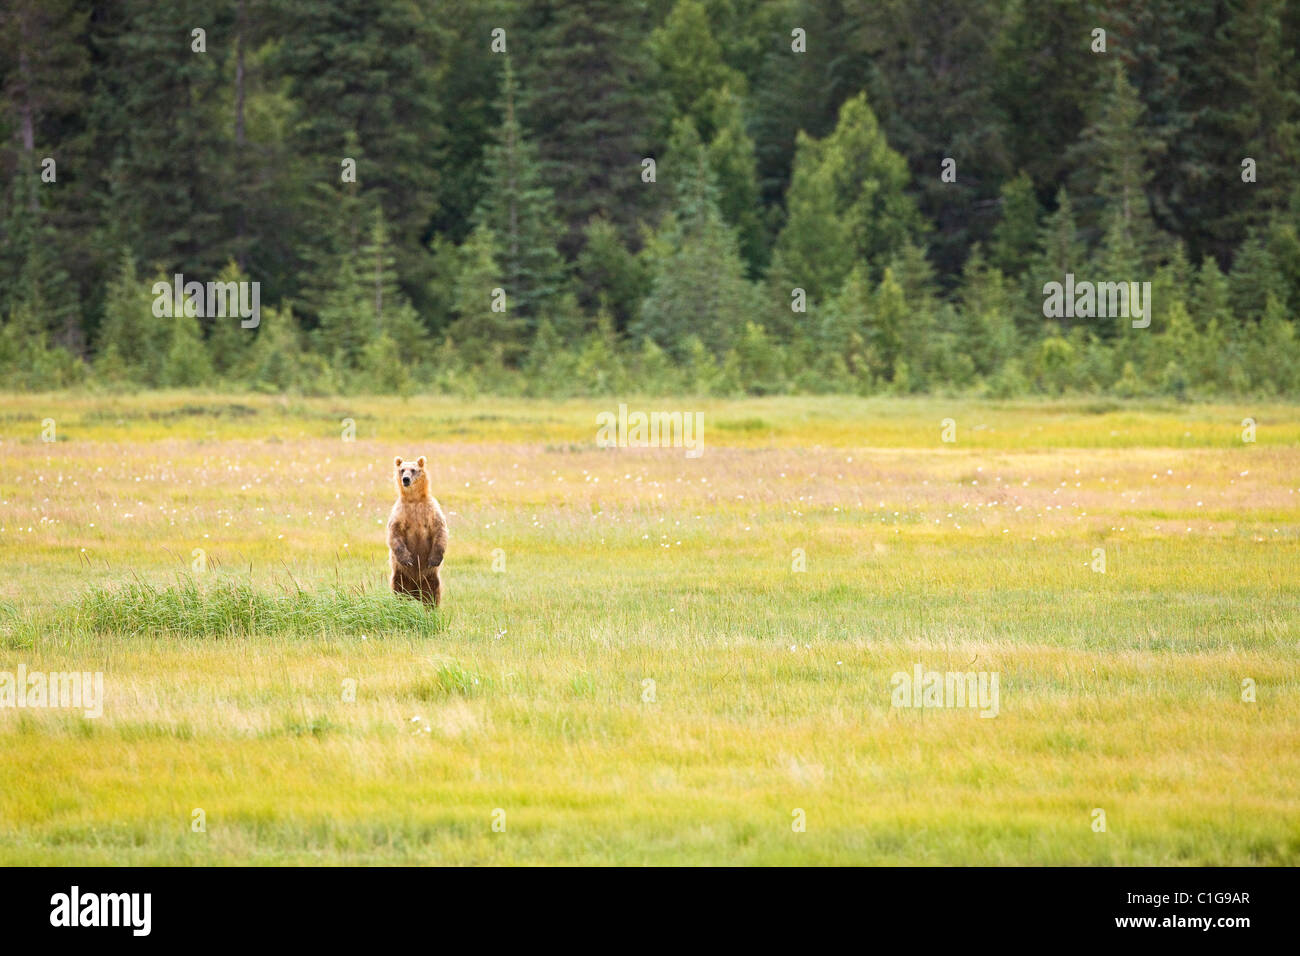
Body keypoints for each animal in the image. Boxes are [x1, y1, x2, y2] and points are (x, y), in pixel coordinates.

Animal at [387, 455, 448, 606]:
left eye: (414, 470)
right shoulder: (400, 512)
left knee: (432, 593)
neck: (414, 499)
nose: (406, 479)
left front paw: (434, 559)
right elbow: (394, 534)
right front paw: (408, 559)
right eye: (402, 470)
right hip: (401, 575)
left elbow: (440, 530)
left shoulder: (431, 510)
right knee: (400, 590)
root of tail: (415, 590)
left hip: (430, 576)